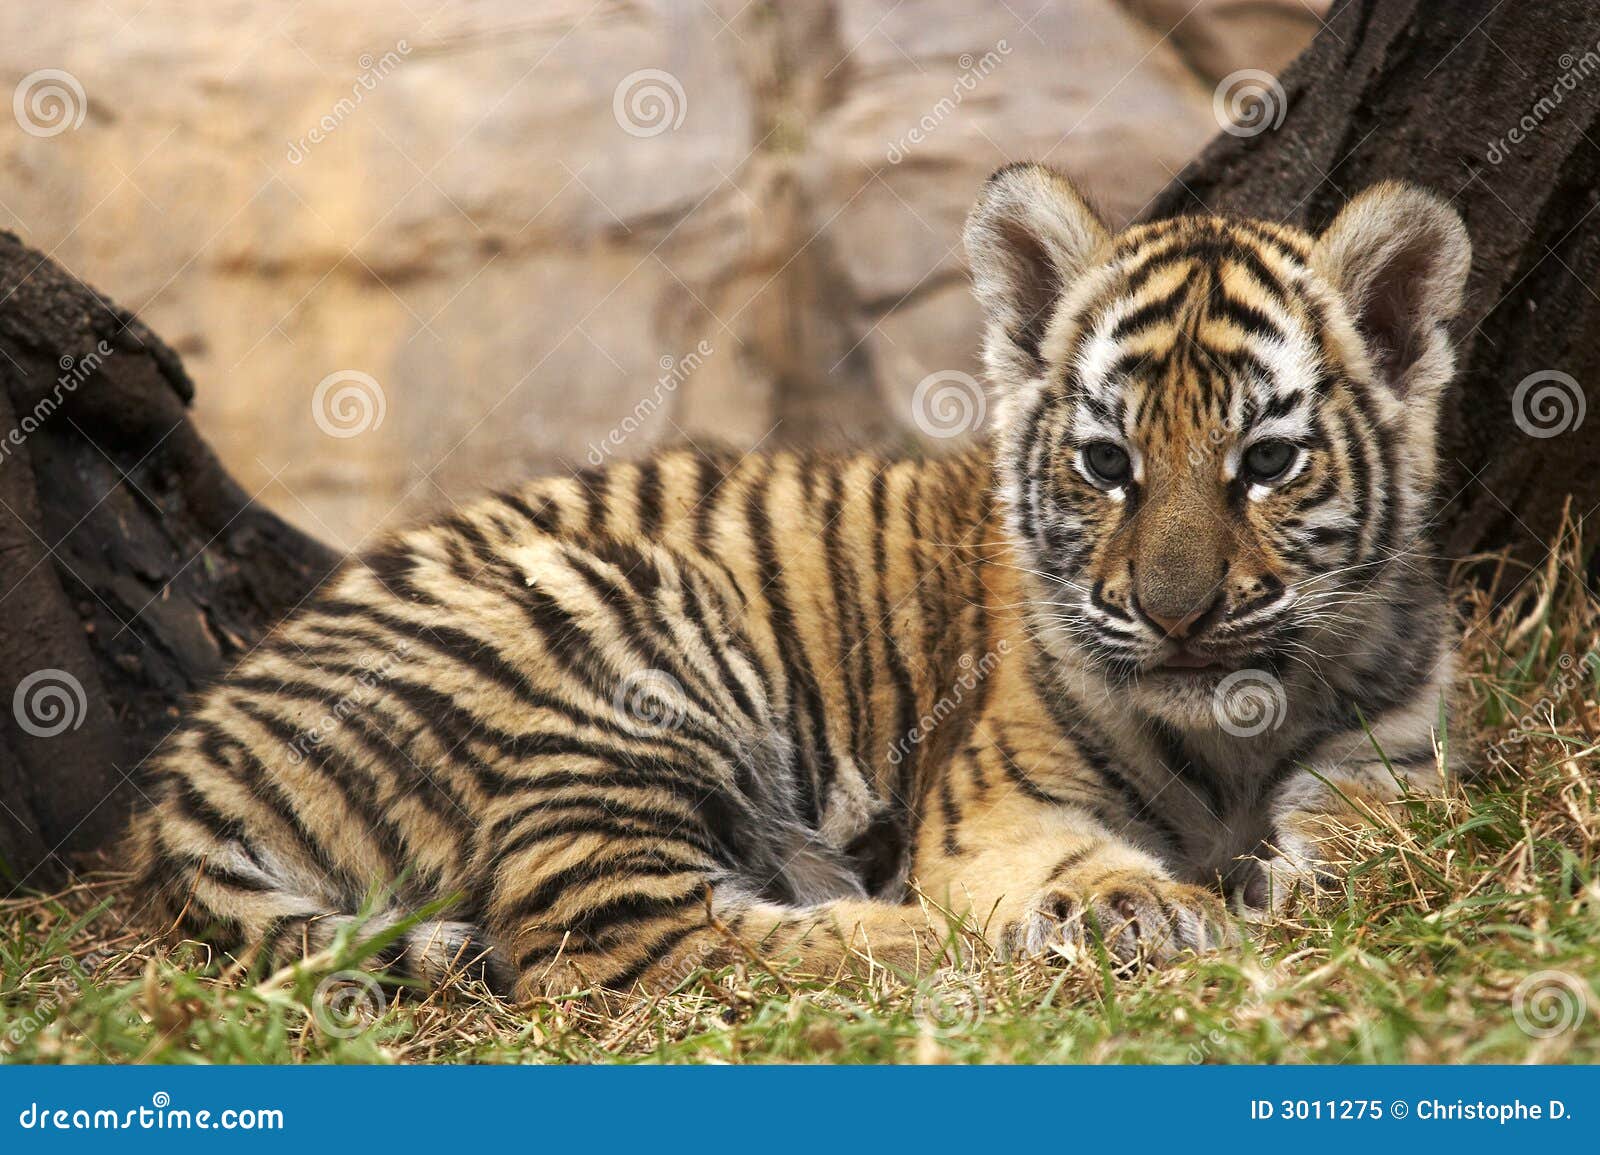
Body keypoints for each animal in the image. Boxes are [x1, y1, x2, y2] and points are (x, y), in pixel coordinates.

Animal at [126, 163, 1471, 1000]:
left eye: (1266, 463)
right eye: (1107, 464)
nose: (1175, 615)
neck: (1238, 732)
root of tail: (190, 763)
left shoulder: (1395, 760)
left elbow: (1378, 836)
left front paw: (1286, 882)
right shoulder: (993, 804)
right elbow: (1076, 870)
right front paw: (1148, 912)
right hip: (615, 670)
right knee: (603, 944)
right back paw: (931, 939)